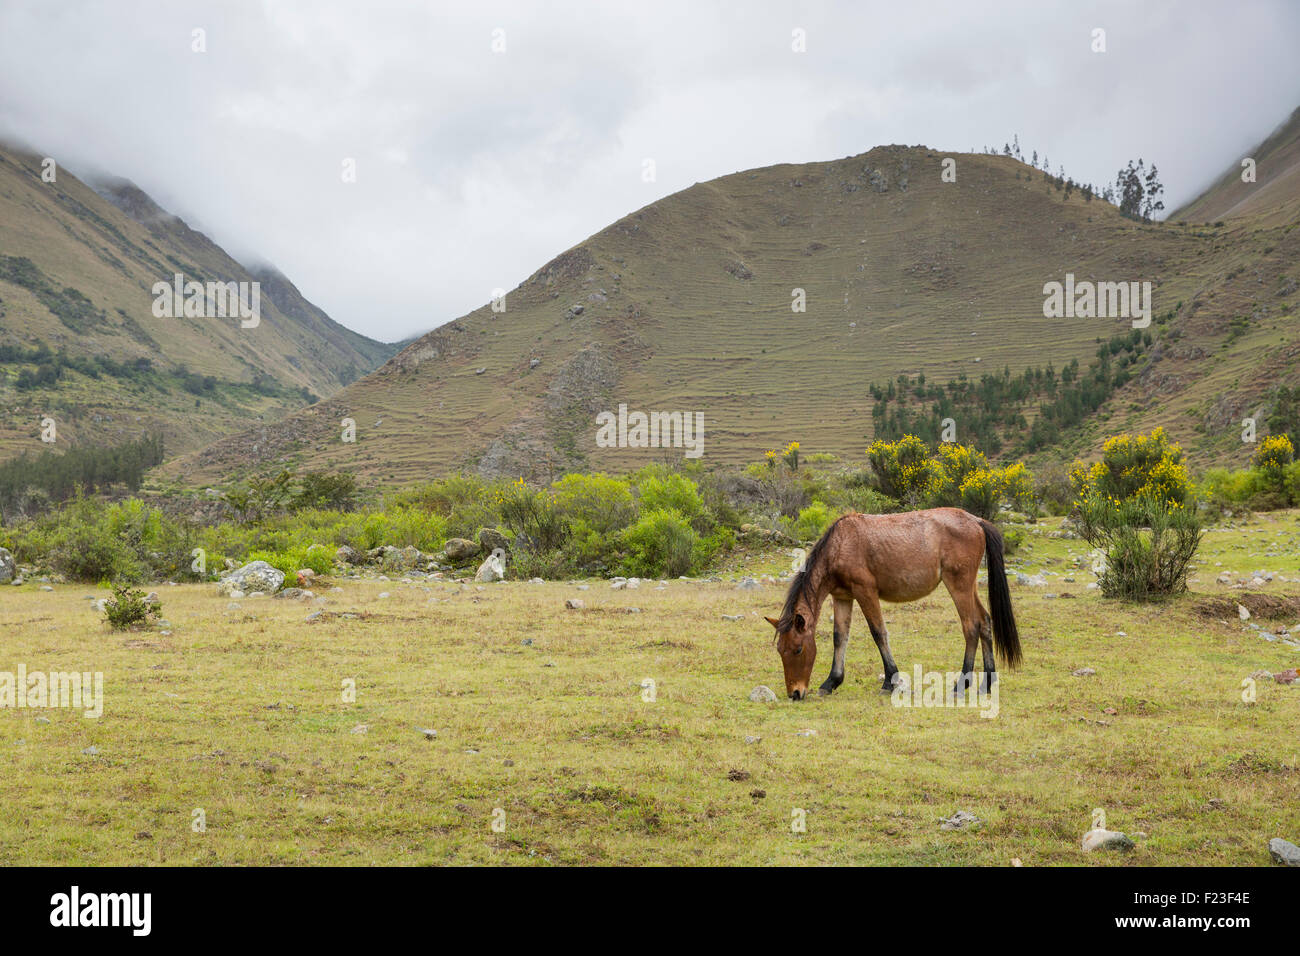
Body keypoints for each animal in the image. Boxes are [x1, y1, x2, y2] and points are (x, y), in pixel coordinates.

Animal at [764, 507, 1021, 700]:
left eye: (798, 649)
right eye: (780, 650)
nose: (795, 693)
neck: (841, 544)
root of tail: (976, 521)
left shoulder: (865, 592)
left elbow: (878, 633)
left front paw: (890, 681)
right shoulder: (842, 597)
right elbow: (840, 637)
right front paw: (832, 682)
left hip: (959, 586)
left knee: (971, 627)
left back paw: (961, 684)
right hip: (969, 588)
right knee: (985, 621)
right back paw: (987, 683)